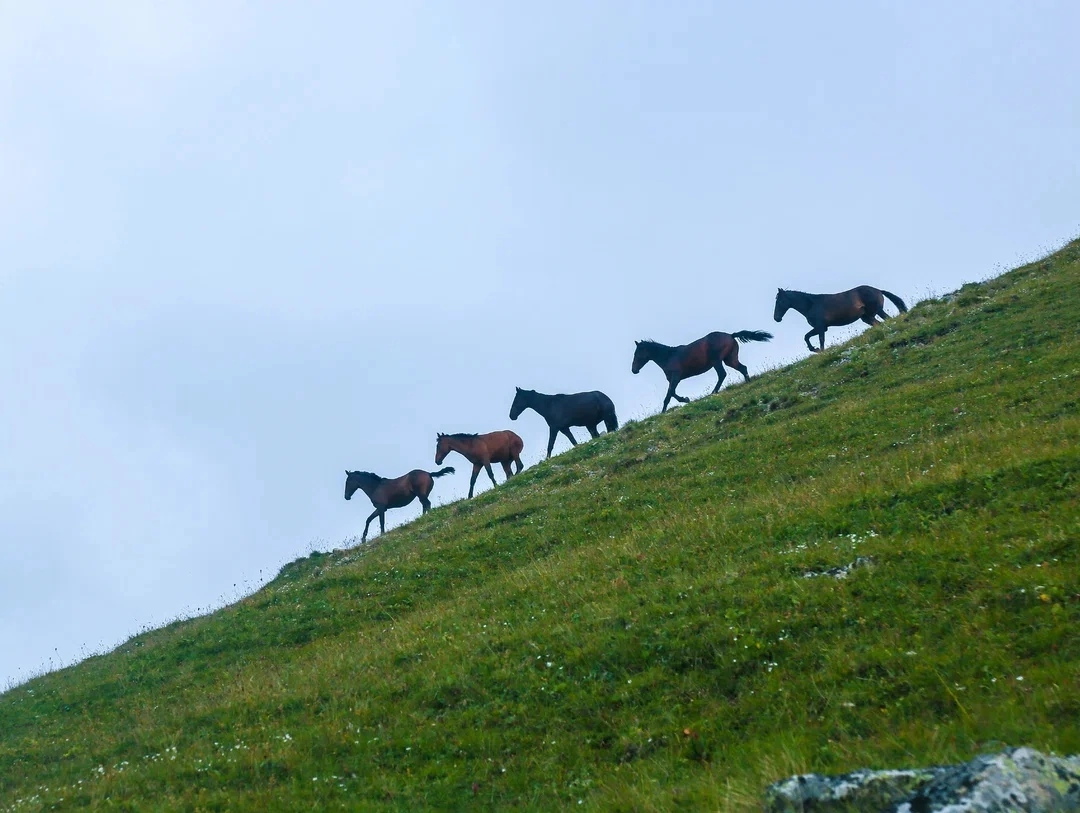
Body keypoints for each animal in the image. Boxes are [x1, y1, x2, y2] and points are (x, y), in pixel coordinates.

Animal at [630, 328, 777, 408]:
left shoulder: (676, 377)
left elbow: (669, 395)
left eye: (637, 354)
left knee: (722, 374)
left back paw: (714, 392)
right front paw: (684, 400)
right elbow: (671, 394)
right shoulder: (673, 379)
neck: (669, 356)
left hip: (717, 361)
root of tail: (730, 335)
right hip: (729, 359)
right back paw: (747, 382)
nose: (634, 370)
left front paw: (682, 401)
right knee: (743, 368)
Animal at [773, 282, 907, 349]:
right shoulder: (821, 328)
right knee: (879, 324)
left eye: (779, 301)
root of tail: (878, 290)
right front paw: (814, 349)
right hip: (867, 317)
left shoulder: (821, 327)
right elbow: (806, 337)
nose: (776, 318)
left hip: (877, 311)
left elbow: (819, 340)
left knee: (888, 319)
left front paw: (819, 351)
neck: (811, 305)